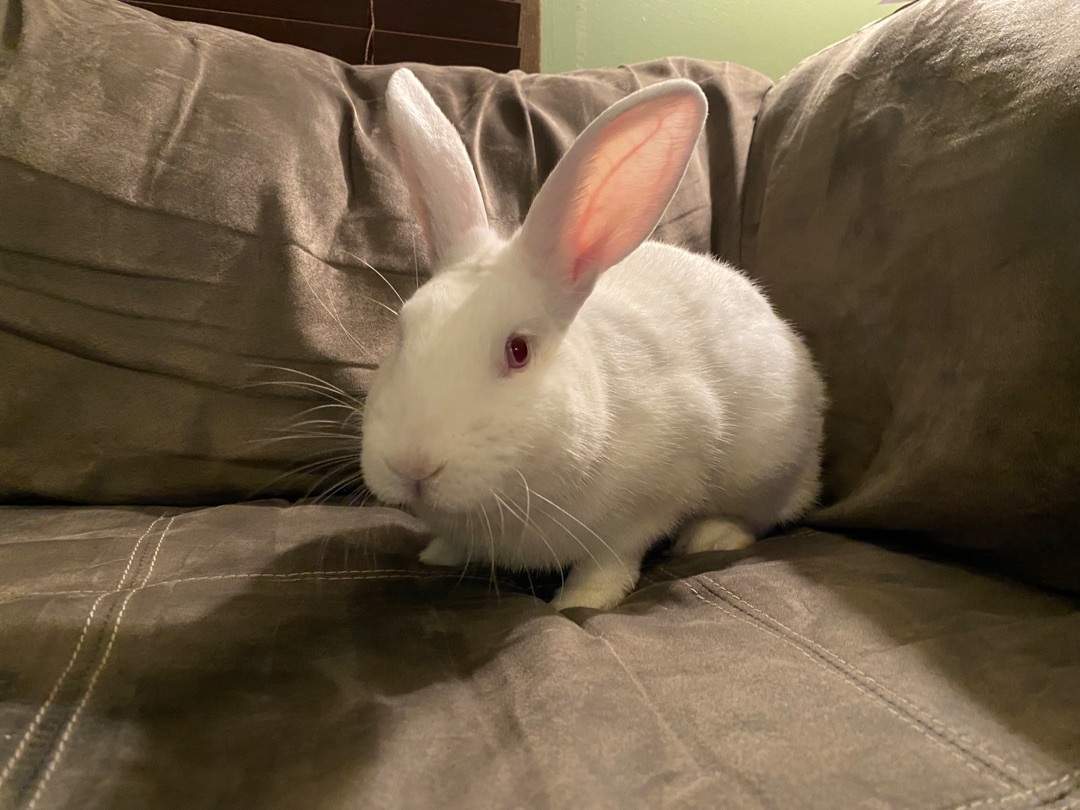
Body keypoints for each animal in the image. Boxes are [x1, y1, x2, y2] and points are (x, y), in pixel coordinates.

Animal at [360, 68, 826, 612]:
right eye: (402, 332)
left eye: (518, 351)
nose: (411, 464)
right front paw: (439, 553)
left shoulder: (649, 499)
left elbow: (611, 561)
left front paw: (577, 603)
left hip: (767, 466)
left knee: (761, 514)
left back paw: (711, 535)